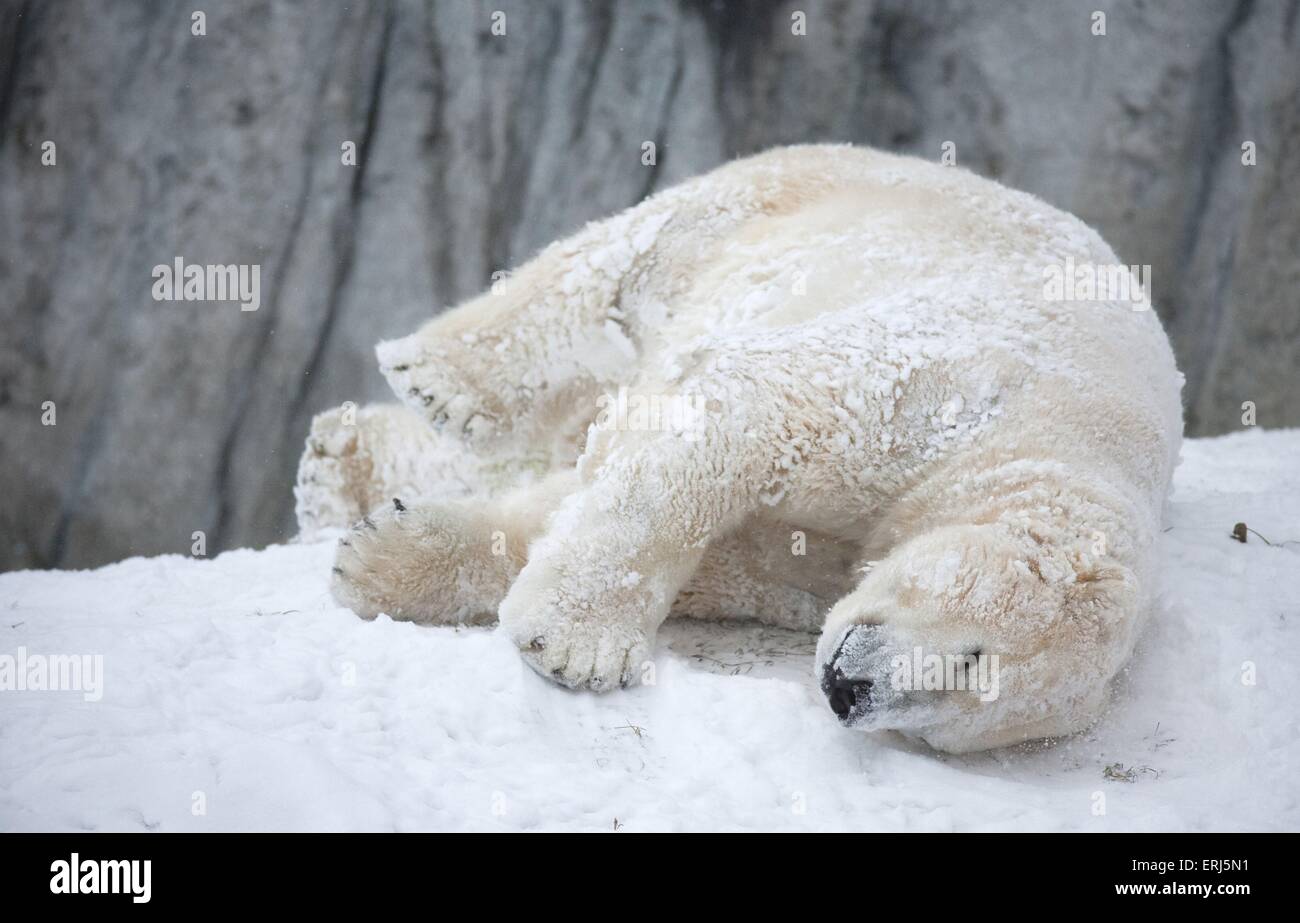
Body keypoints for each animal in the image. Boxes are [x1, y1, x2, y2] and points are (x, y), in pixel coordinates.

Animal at [294, 144, 1183, 753]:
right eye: (973, 656)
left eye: (945, 723)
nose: (848, 687)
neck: (1069, 443)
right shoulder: (958, 389)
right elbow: (743, 415)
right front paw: (575, 646)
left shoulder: (826, 569)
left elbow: (725, 553)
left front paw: (387, 554)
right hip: (800, 201)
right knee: (616, 270)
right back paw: (433, 383)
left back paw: (341, 464)